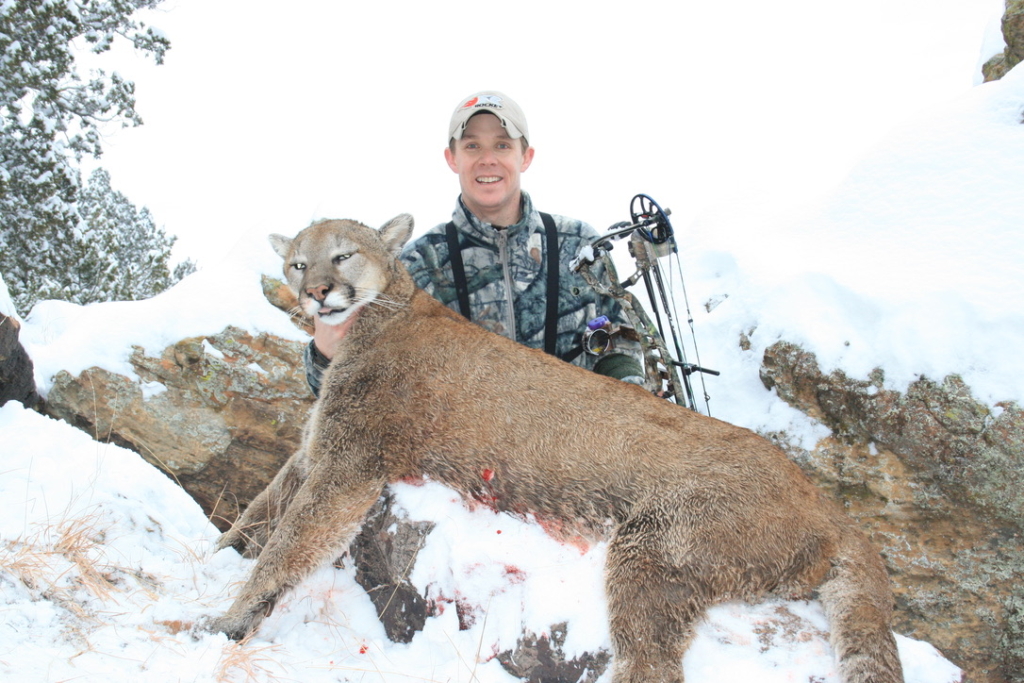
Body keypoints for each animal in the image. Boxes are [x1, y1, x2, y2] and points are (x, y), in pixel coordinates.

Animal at [206, 214, 905, 683]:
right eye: (298, 262)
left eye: (343, 255)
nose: (315, 292)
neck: (376, 317)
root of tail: (831, 508)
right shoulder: (316, 448)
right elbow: (257, 514)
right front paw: (217, 560)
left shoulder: (349, 465)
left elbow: (287, 546)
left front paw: (226, 623)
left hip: (657, 548)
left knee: (651, 664)